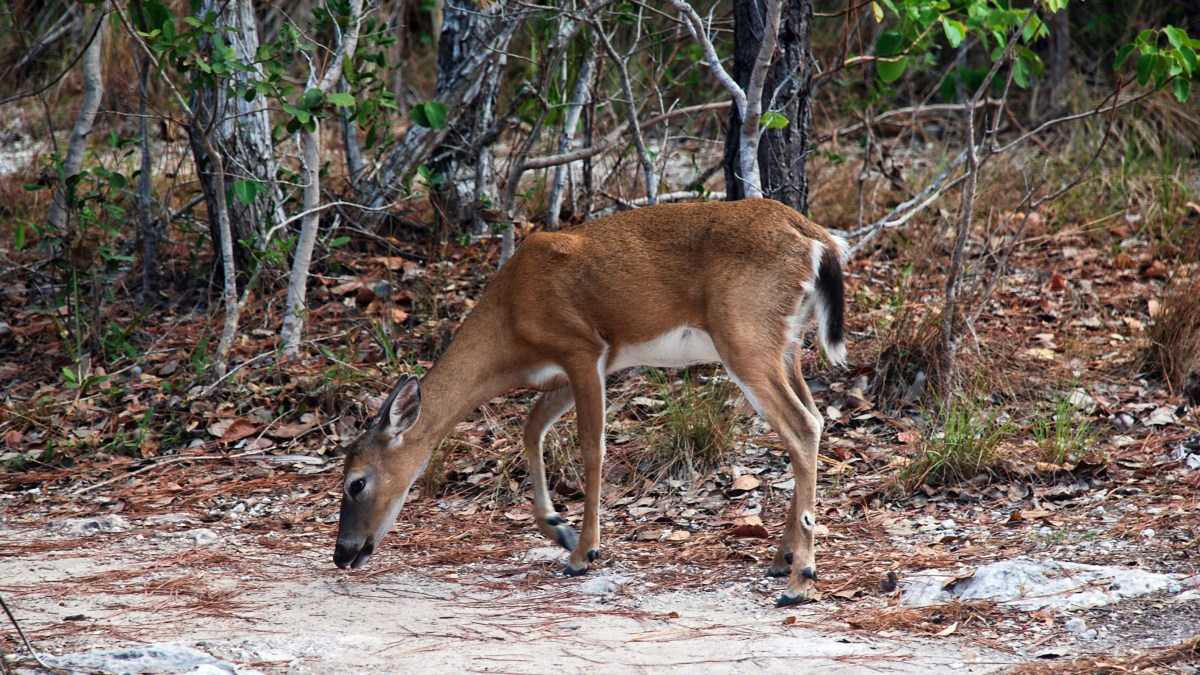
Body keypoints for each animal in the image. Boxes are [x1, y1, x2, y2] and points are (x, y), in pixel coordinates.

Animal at [333, 198, 847, 607]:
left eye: (356, 483)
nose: (342, 553)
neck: (510, 328)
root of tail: (819, 240)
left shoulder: (584, 349)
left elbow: (591, 447)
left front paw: (583, 552)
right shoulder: (566, 370)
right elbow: (531, 428)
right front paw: (557, 527)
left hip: (743, 334)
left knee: (801, 425)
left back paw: (799, 580)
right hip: (786, 344)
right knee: (813, 419)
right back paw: (781, 559)